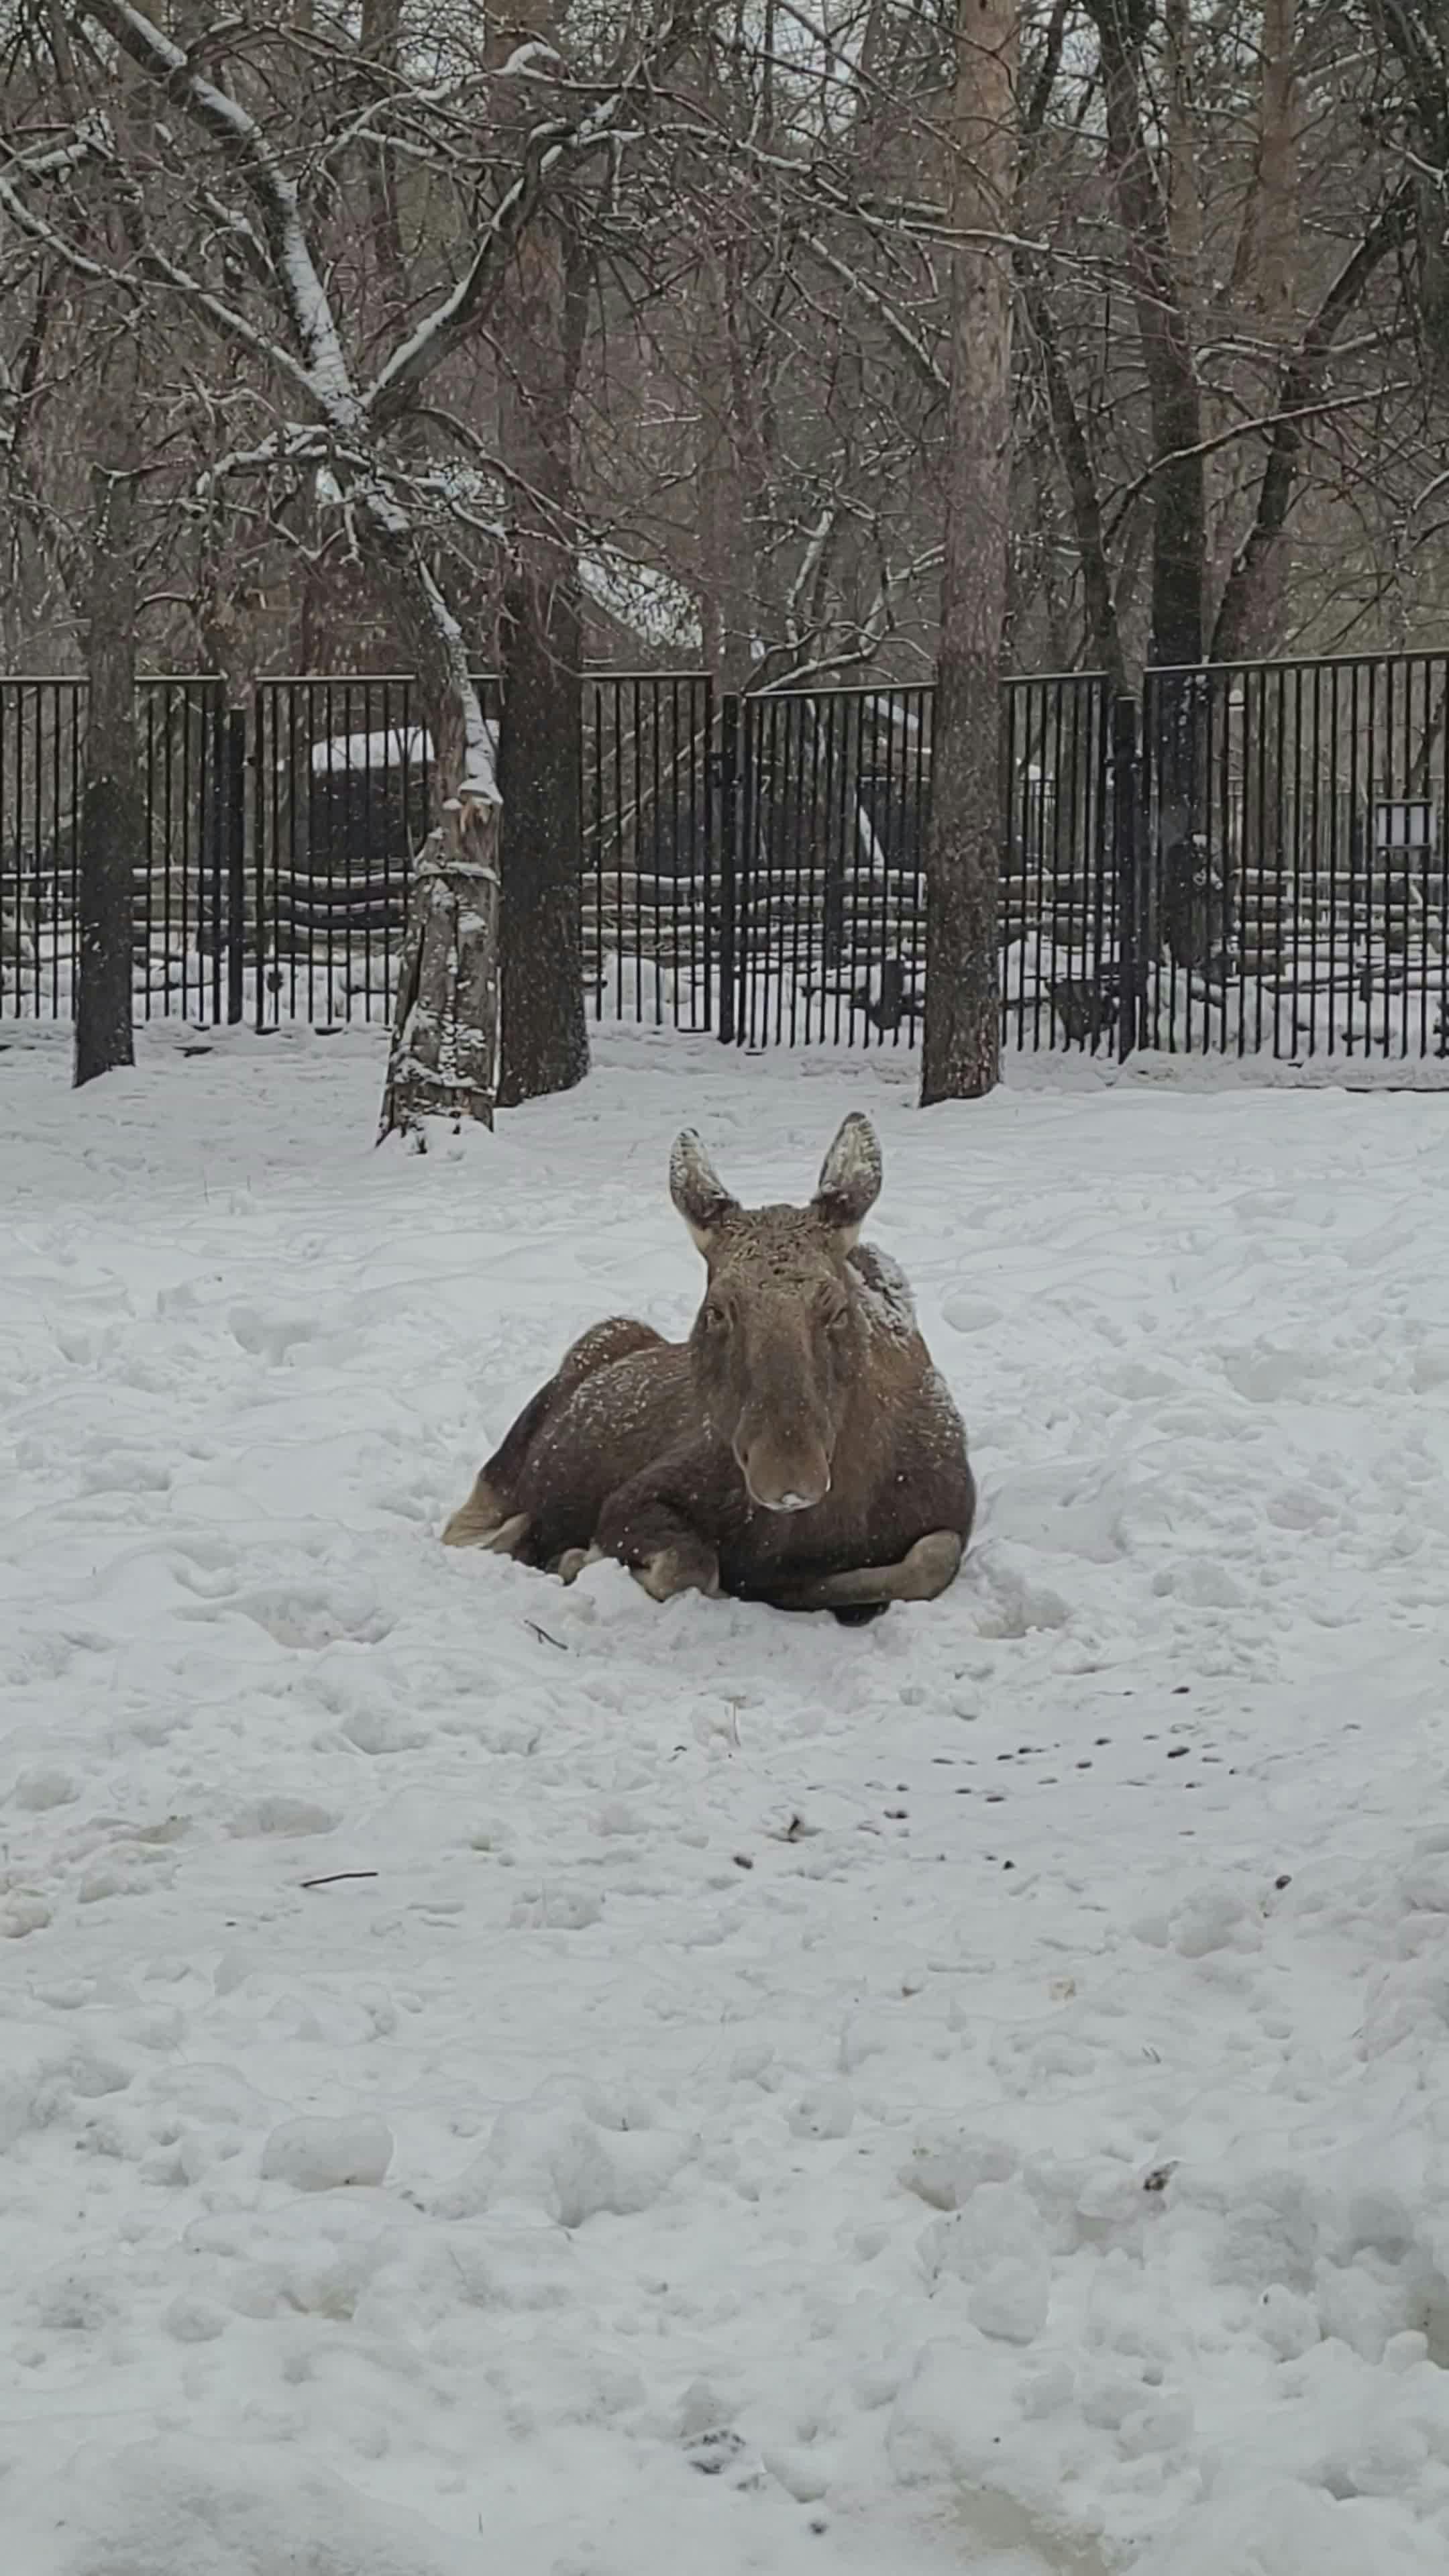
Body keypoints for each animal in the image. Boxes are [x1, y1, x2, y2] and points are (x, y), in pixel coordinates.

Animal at [442, 1112, 975, 1619]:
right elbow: (693, 1566)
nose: (789, 1477)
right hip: (510, 1460)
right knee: (468, 1529)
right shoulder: (631, 1500)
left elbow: (932, 1558)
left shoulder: (951, 1521)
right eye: (716, 1310)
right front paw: (577, 1558)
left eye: (838, 1309)